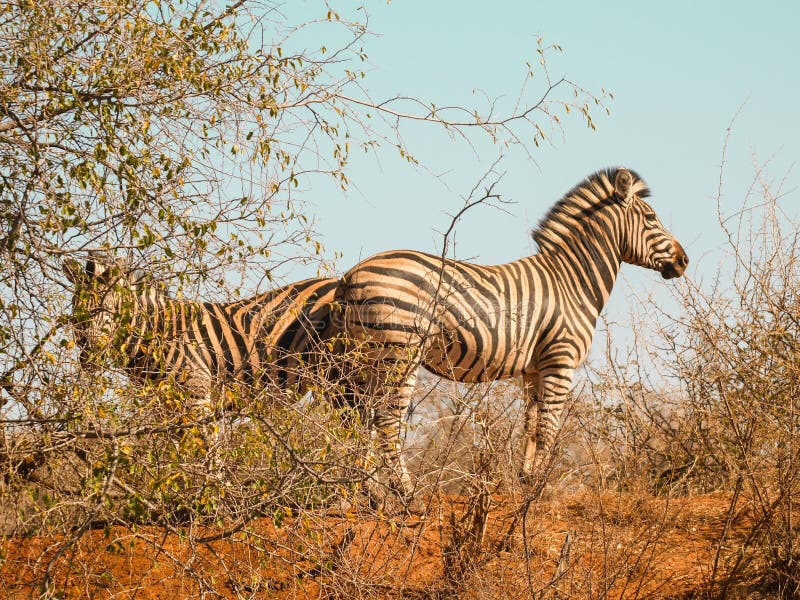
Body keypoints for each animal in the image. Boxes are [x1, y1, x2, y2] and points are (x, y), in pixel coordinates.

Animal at [62, 254, 339, 409]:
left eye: (107, 312)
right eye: (75, 316)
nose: (88, 360)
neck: (157, 335)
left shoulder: (197, 396)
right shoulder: (160, 405)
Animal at [337, 168, 689, 498]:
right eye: (651, 218)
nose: (683, 260)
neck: (571, 282)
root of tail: (351, 275)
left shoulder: (534, 369)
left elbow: (530, 427)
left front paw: (525, 481)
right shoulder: (560, 361)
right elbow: (548, 428)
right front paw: (540, 488)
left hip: (364, 360)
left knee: (360, 420)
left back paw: (367, 495)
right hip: (399, 354)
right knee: (387, 422)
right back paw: (406, 494)